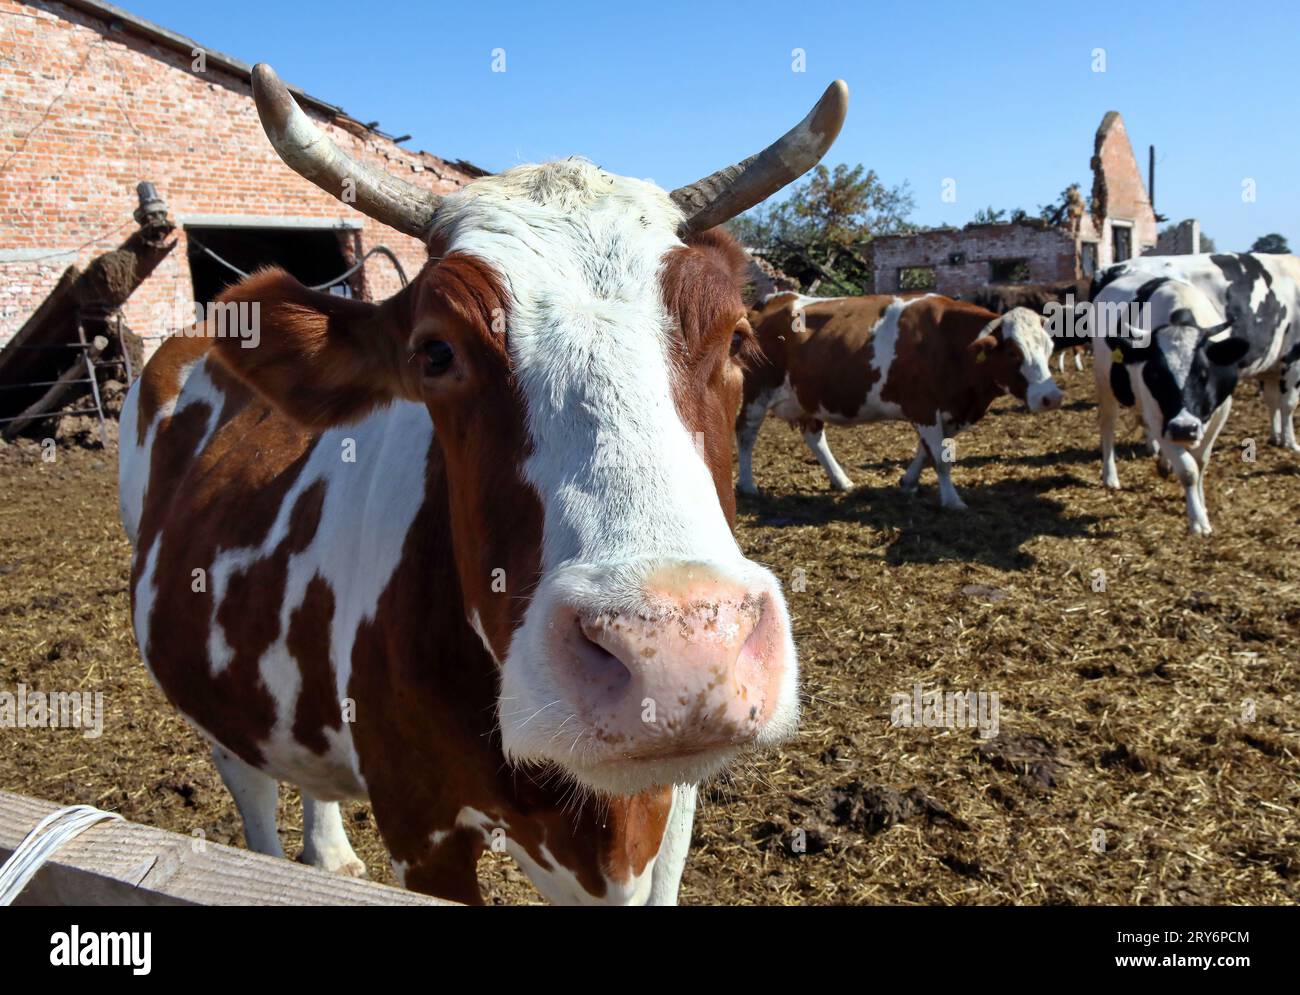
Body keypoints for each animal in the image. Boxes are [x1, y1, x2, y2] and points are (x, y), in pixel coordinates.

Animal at [117, 64, 849, 905]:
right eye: (435, 352)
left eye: (735, 335)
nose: (677, 654)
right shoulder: (421, 827)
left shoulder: (671, 815)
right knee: (246, 780)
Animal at [737, 292, 1062, 509]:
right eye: (1014, 353)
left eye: (1049, 347)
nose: (1052, 397)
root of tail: (776, 299)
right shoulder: (924, 407)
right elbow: (940, 459)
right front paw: (952, 500)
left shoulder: (948, 410)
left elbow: (927, 452)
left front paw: (908, 482)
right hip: (757, 391)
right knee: (746, 435)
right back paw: (747, 485)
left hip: (806, 398)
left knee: (814, 438)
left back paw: (841, 481)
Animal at [1092, 253, 1300, 534]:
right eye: (1155, 375)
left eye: (1204, 373)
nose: (1183, 428)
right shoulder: (1162, 419)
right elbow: (1189, 470)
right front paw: (1198, 521)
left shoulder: (1221, 410)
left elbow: (1201, 463)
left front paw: (1200, 502)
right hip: (1106, 385)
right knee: (1108, 426)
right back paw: (1110, 475)